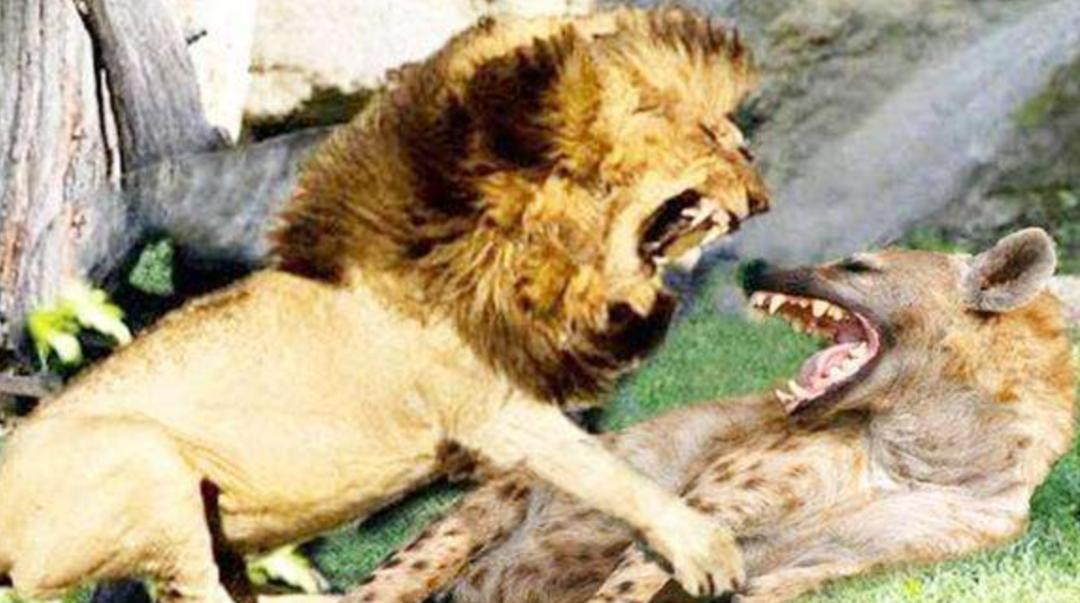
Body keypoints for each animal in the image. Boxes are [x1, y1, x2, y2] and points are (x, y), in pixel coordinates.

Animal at [0, 7, 768, 603]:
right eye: (713, 138)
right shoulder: (493, 410)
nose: (761, 191)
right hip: (147, 461)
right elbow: (606, 470)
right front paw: (707, 549)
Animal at [341, 228, 1076, 603]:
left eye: (857, 267)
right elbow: (630, 583)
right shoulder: (707, 508)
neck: (928, 452)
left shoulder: (850, 562)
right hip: (472, 518)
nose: (756, 263)